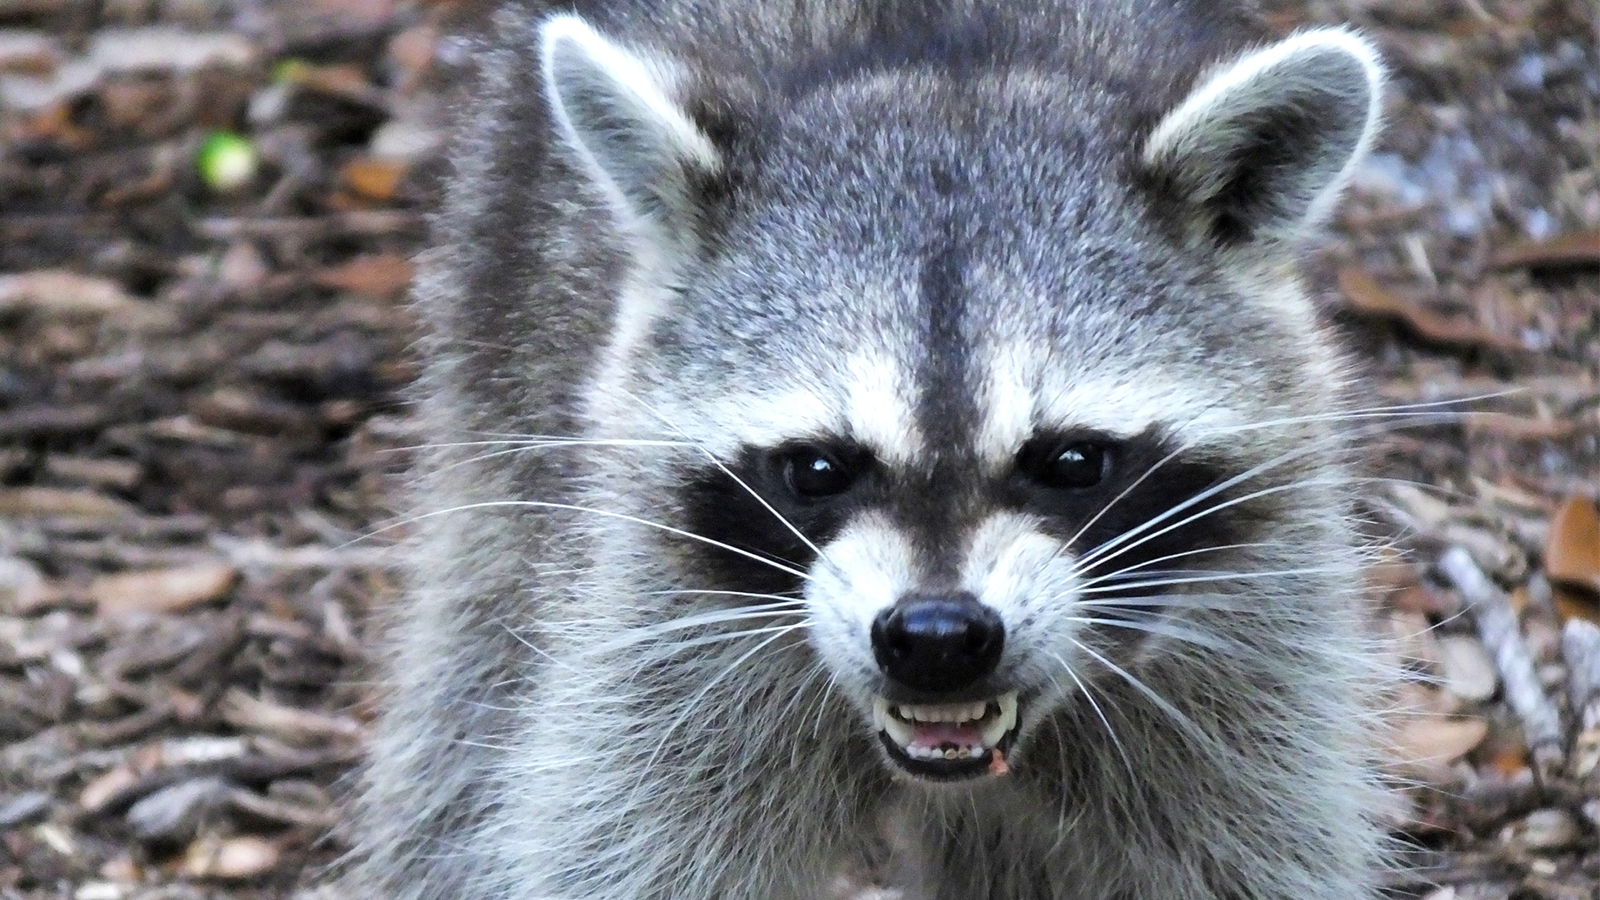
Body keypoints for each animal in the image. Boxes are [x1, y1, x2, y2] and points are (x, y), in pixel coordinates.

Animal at [348, 2, 1389, 899]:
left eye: (1072, 463)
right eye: (818, 468)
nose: (936, 639)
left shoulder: (1249, 638)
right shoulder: (659, 630)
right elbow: (613, 833)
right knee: (467, 698)